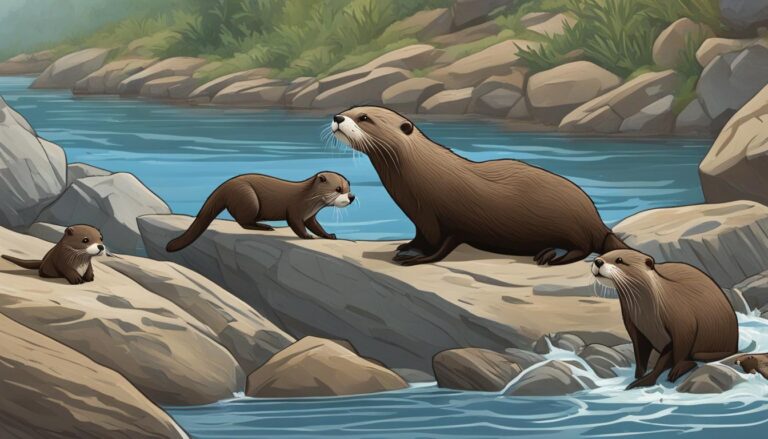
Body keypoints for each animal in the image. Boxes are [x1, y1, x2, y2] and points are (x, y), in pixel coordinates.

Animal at [166, 171, 354, 252]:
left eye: (348, 187)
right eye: (338, 189)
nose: (351, 197)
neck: (308, 199)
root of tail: (224, 187)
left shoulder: (310, 216)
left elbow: (317, 227)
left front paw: (329, 235)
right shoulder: (295, 209)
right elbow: (296, 224)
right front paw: (307, 236)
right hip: (248, 198)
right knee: (244, 222)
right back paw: (265, 226)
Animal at [331, 106, 626, 266]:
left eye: (364, 117)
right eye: (349, 110)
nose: (337, 117)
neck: (423, 174)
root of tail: (595, 217)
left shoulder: (446, 219)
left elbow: (441, 245)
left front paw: (416, 258)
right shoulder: (422, 219)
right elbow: (420, 237)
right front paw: (407, 247)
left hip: (573, 224)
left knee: (584, 247)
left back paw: (553, 256)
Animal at [592, 249, 738, 389]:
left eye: (619, 259)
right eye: (603, 255)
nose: (598, 261)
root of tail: (734, 345)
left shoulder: (683, 322)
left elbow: (680, 350)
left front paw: (677, 370)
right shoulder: (635, 327)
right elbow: (640, 351)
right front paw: (638, 375)